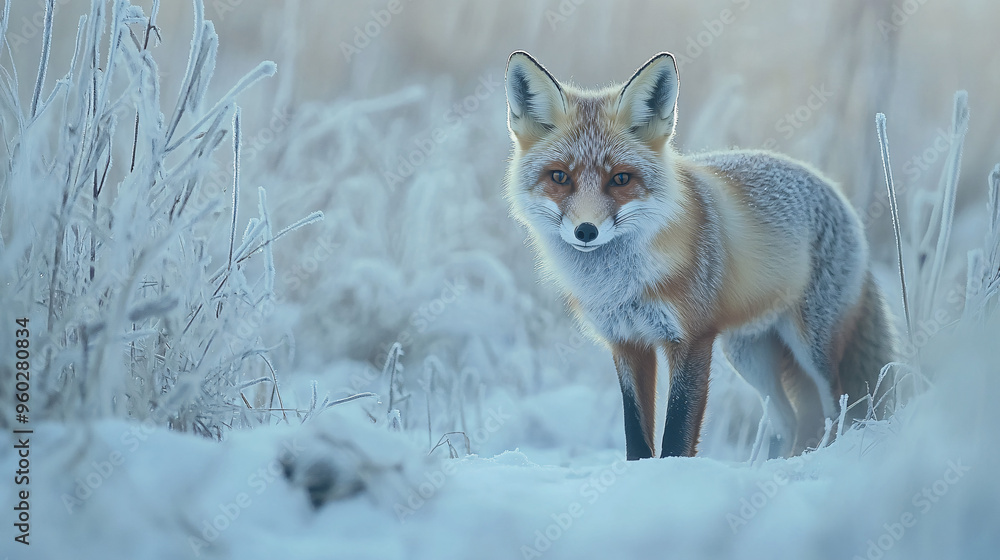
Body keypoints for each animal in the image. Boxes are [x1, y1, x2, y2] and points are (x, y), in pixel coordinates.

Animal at [503, 51, 897, 460]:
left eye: (621, 179)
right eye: (560, 177)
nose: (585, 231)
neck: (620, 284)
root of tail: (834, 190)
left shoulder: (692, 338)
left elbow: (677, 431)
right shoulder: (627, 342)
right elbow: (636, 434)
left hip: (813, 348)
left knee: (836, 411)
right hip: (749, 355)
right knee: (791, 422)